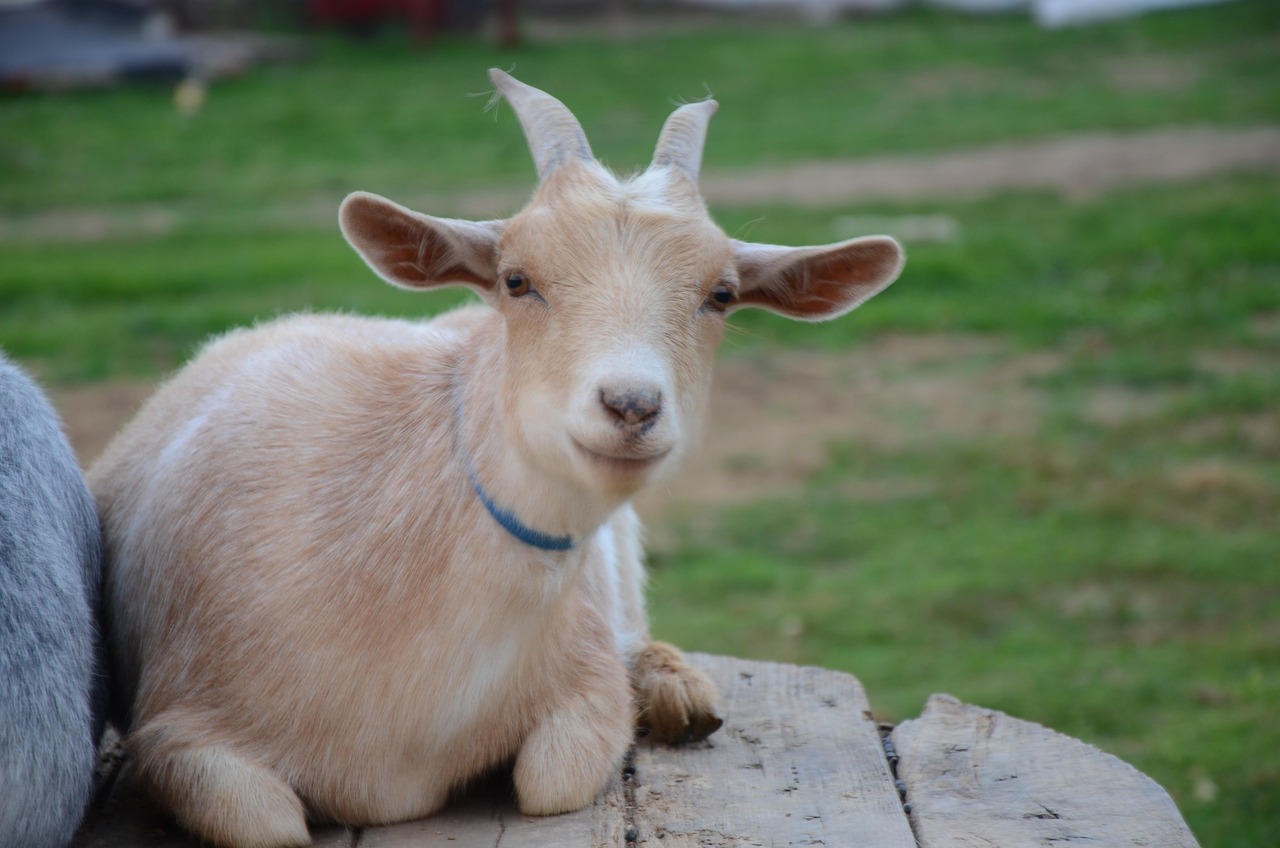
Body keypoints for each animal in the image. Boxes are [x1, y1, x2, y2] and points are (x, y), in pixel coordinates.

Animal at [87, 70, 905, 848]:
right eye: (517, 279)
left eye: (723, 294)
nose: (631, 406)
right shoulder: (178, 727)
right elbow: (267, 824)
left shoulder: (582, 680)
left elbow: (554, 778)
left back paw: (675, 689)